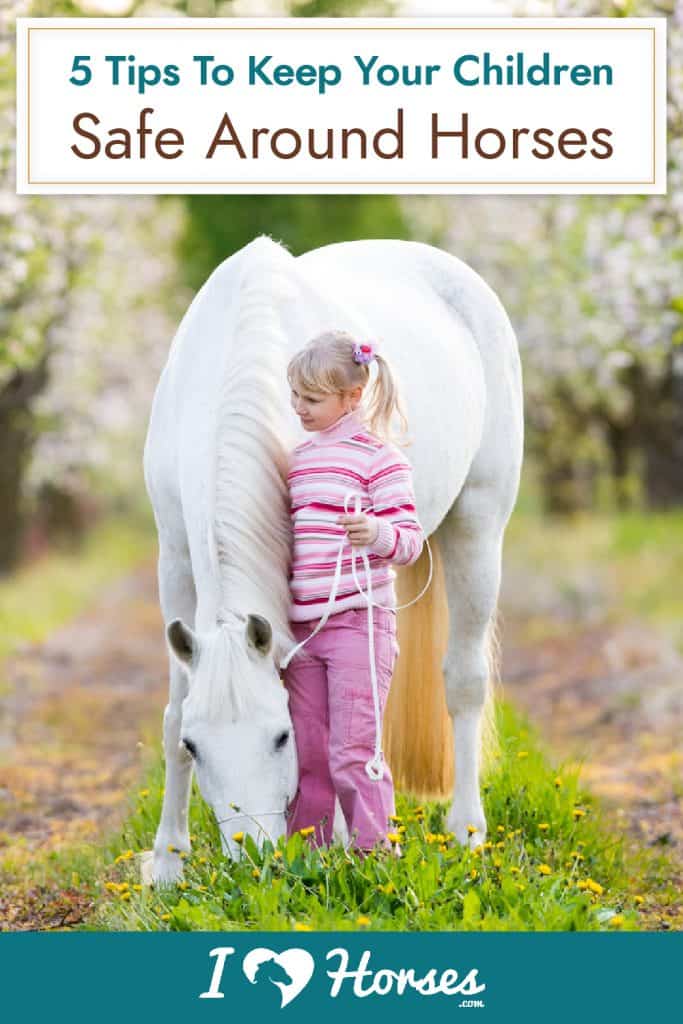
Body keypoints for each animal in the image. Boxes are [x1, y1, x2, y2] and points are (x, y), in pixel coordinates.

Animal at [143, 234, 523, 885]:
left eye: (279, 737)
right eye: (197, 746)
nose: (252, 857)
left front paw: (338, 840)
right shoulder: (175, 558)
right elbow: (172, 712)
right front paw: (168, 861)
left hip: (478, 527)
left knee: (464, 683)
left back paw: (466, 831)